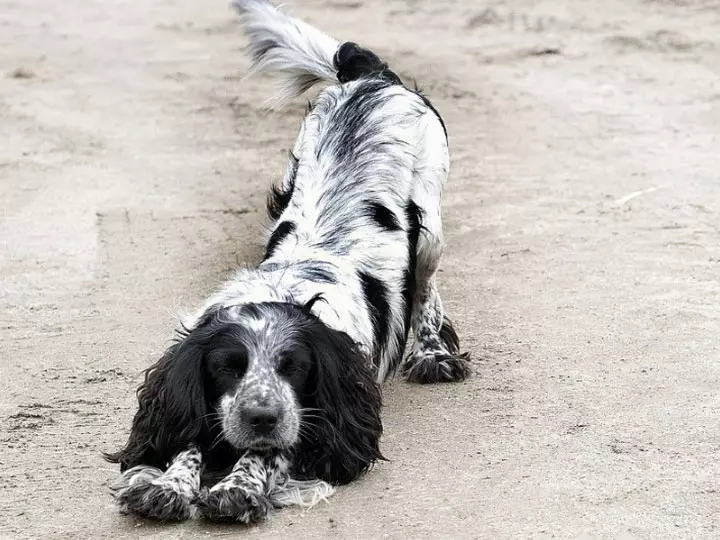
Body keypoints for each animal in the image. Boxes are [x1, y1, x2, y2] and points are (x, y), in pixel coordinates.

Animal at [104, 0, 470, 524]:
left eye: (294, 367)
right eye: (226, 368)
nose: (261, 416)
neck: (283, 292)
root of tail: (371, 78)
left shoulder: (330, 409)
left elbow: (273, 450)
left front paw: (236, 488)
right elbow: (188, 440)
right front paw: (167, 486)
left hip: (431, 228)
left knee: (424, 286)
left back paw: (432, 353)